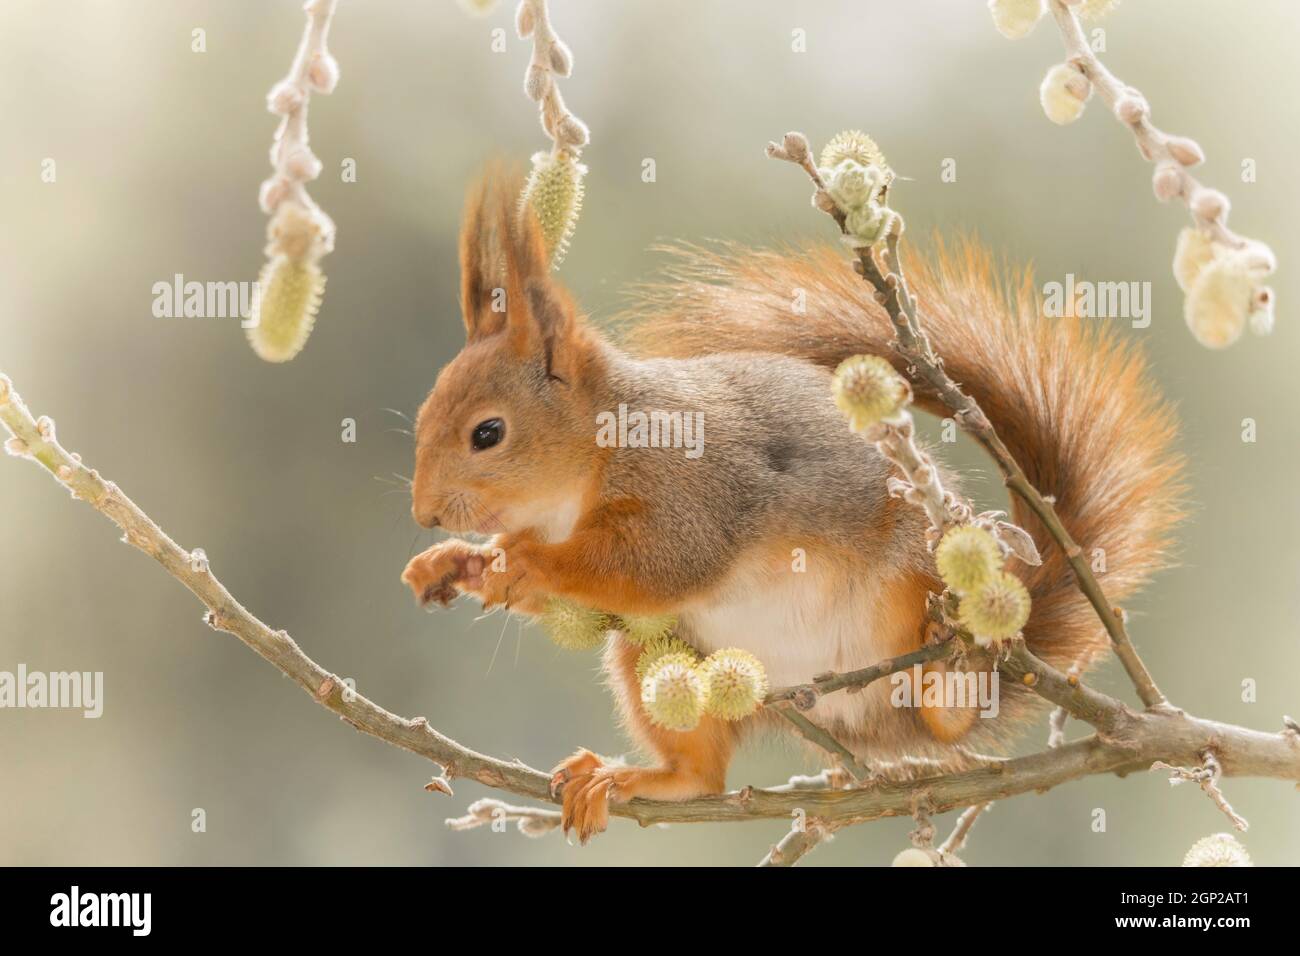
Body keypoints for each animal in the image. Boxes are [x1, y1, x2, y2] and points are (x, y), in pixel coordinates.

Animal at [401, 171, 1184, 844]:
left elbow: (654, 563)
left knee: (948, 712)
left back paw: (948, 671)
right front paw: (454, 563)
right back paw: (630, 779)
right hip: (656, 656)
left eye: (487, 433)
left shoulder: (694, 492)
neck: (592, 459)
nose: (425, 514)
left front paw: (518, 560)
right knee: (706, 773)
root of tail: (853, 712)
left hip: (918, 580)